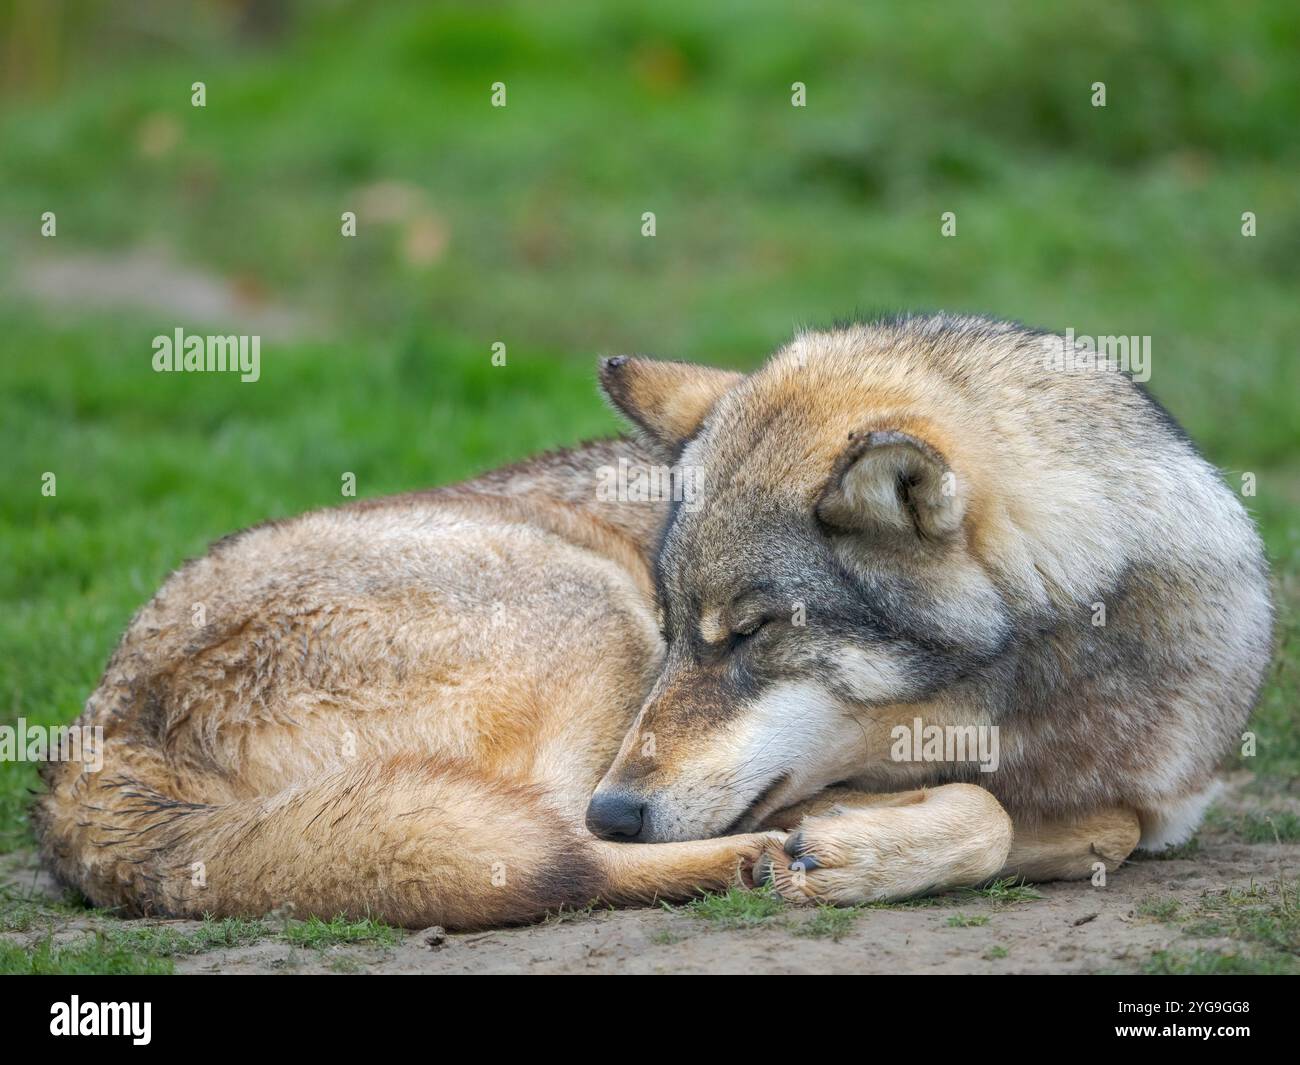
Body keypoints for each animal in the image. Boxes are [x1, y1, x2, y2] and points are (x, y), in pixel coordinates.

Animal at [34, 315, 1272, 929]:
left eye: (750, 633)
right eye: (687, 629)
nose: (622, 806)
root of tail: (82, 753)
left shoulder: (1161, 795)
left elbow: (1105, 828)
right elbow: (989, 815)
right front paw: (857, 844)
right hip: (588, 612)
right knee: (542, 854)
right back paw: (760, 860)